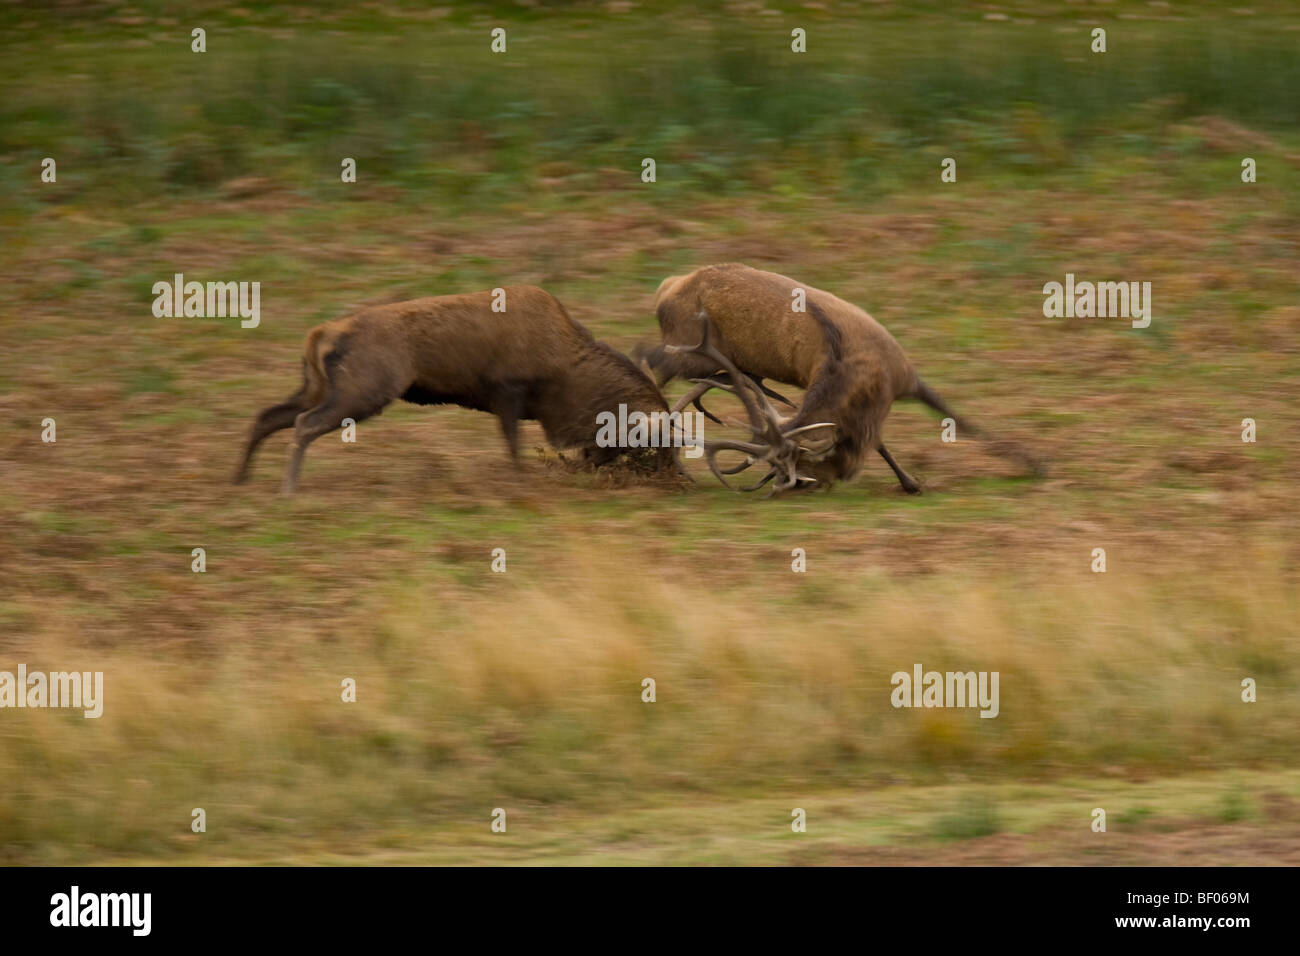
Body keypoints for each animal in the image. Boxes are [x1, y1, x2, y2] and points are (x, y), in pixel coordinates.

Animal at [233, 285, 676, 493]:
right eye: (648, 437)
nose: (674, 478)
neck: (564, 369)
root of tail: (321, 333)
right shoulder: (508, 390)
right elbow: (512, 443)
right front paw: (519, 480)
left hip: (317, 387)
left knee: (268, 416)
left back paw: (240, 478)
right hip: (362, 391)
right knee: (303, 424)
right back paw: (287, 490)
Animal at [639, 263, 1041, 495]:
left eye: (805, 461)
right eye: (787, 468)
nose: (800, 487)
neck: (871, 382)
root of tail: (666, 286)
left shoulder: (908, 379)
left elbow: (959, 421)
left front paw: (1034, 463)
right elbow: (880, 439)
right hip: (687, 353)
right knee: (650, 362)